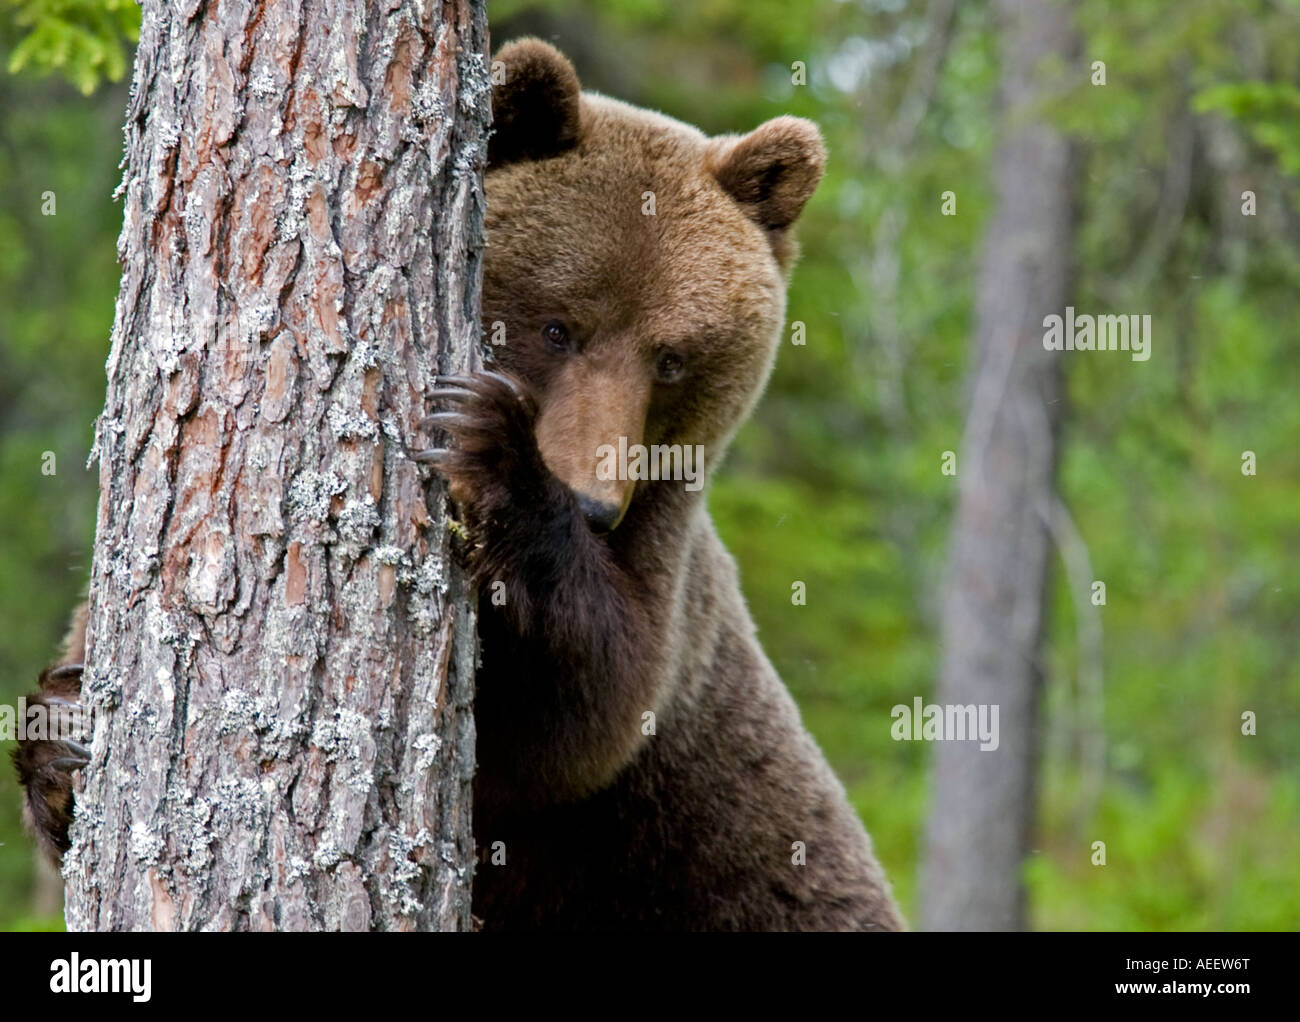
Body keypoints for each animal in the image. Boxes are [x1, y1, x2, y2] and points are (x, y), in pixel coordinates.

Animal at [13, 38, 903, 932]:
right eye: (559, 326)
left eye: (673, 357)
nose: (594, 503)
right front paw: (62, 739)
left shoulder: (666, 578)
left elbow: (594, 708)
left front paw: (490, 447)